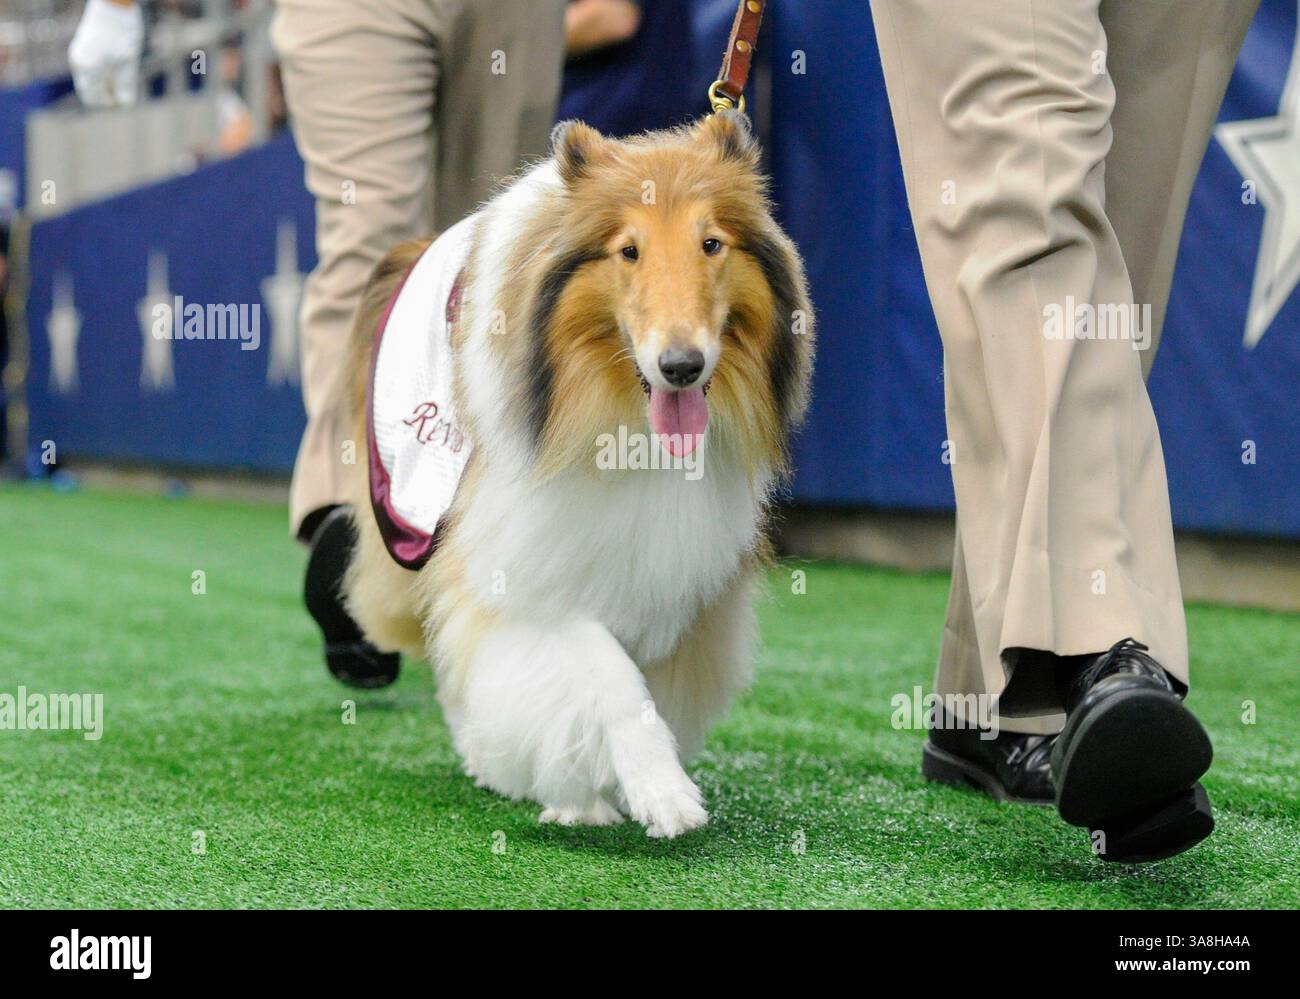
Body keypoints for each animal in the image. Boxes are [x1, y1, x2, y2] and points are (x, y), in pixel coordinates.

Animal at [341, 111, 814, 837]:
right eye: (628, 251)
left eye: (711, 243)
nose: (681, 366)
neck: (619, 422)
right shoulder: (523, 560)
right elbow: (603, 671)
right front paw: (643, 791)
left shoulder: (674, 567)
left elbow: (641, 681)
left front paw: (614, 786)